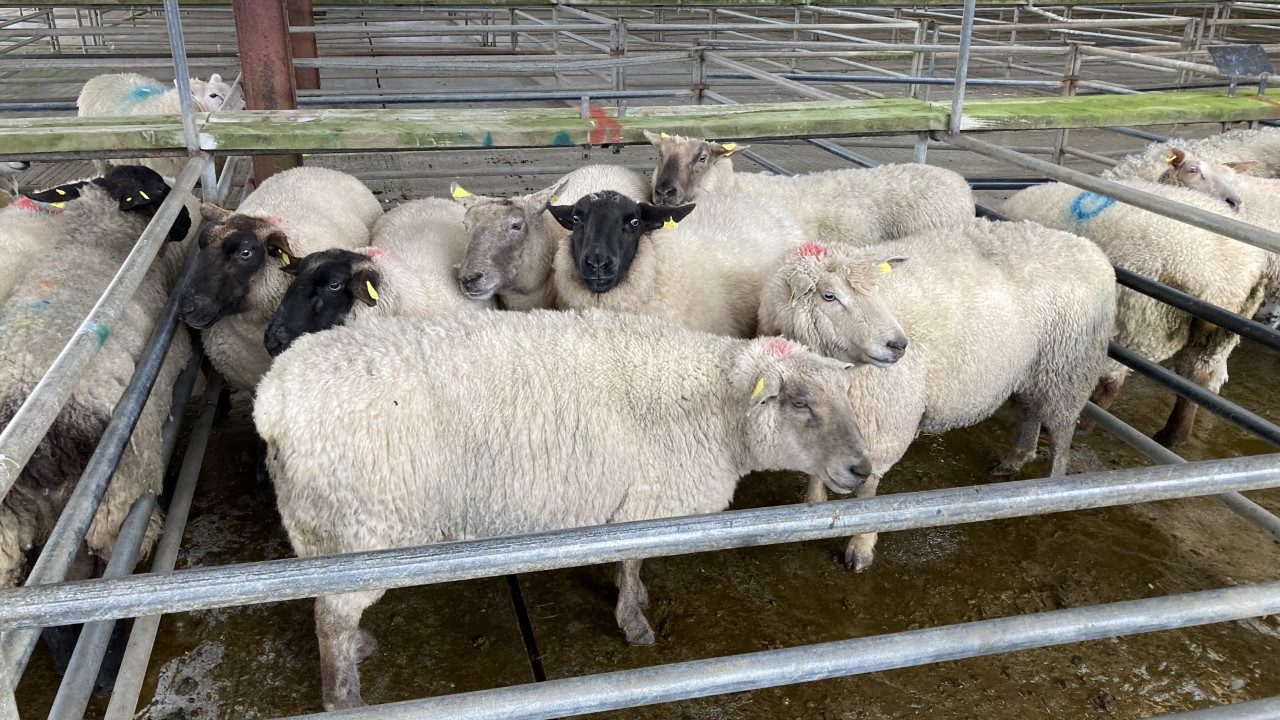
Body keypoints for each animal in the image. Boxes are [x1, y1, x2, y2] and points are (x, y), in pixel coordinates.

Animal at [255, 308, 870, 710]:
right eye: (799, 404)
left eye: (846, 398)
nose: (862, 468)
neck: (713, 407)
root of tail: (273, 399)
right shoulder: (646, 505)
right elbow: (630, 567)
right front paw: (634, 622)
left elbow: (629, 567)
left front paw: (633, 600)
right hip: (363, 527)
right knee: (331, 617)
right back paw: (344, 697)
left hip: (324, 533)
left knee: (328, 610)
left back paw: (356, 648)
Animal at [758, 226, 1114, 571]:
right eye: (829, 296)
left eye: (877, 291)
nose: (898, 345)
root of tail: (1092, 249)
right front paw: (812, 513)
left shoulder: (886, 425)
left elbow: (868, 492)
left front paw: (860, 545)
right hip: (1035, 369)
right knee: (1031, 410)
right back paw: (1016, 459)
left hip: (1069, 369)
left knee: (1062, 432)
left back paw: (1054, 490)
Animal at [1003, 179, 1269, 447]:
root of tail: (1223, 282)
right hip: (1213, 339)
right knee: (1194, 382)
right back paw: (1172, 437)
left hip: (1138, 324)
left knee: (1113, 381)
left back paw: (1083, 424)